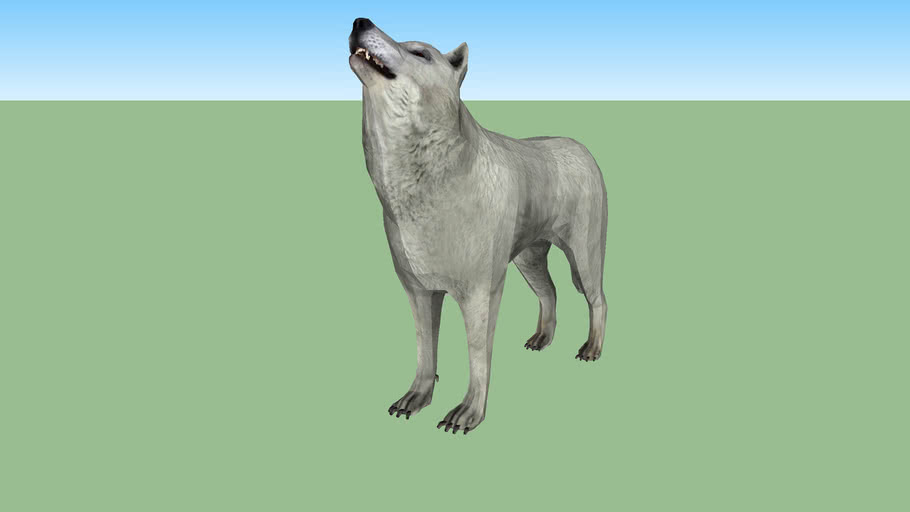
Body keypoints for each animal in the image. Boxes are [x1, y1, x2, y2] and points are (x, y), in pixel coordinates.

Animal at [348, 18, 608, 434]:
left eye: (419, 53)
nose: (360, 21)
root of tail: (580, 146)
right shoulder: (418, 291)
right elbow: (425, 350)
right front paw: (416, 398)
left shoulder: (481, 292)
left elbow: (477, 355)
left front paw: (468, 413)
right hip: (528, 259)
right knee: (550, 292)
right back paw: (542, 338)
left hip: (584, 253)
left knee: (597, 299)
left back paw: (592, 348)